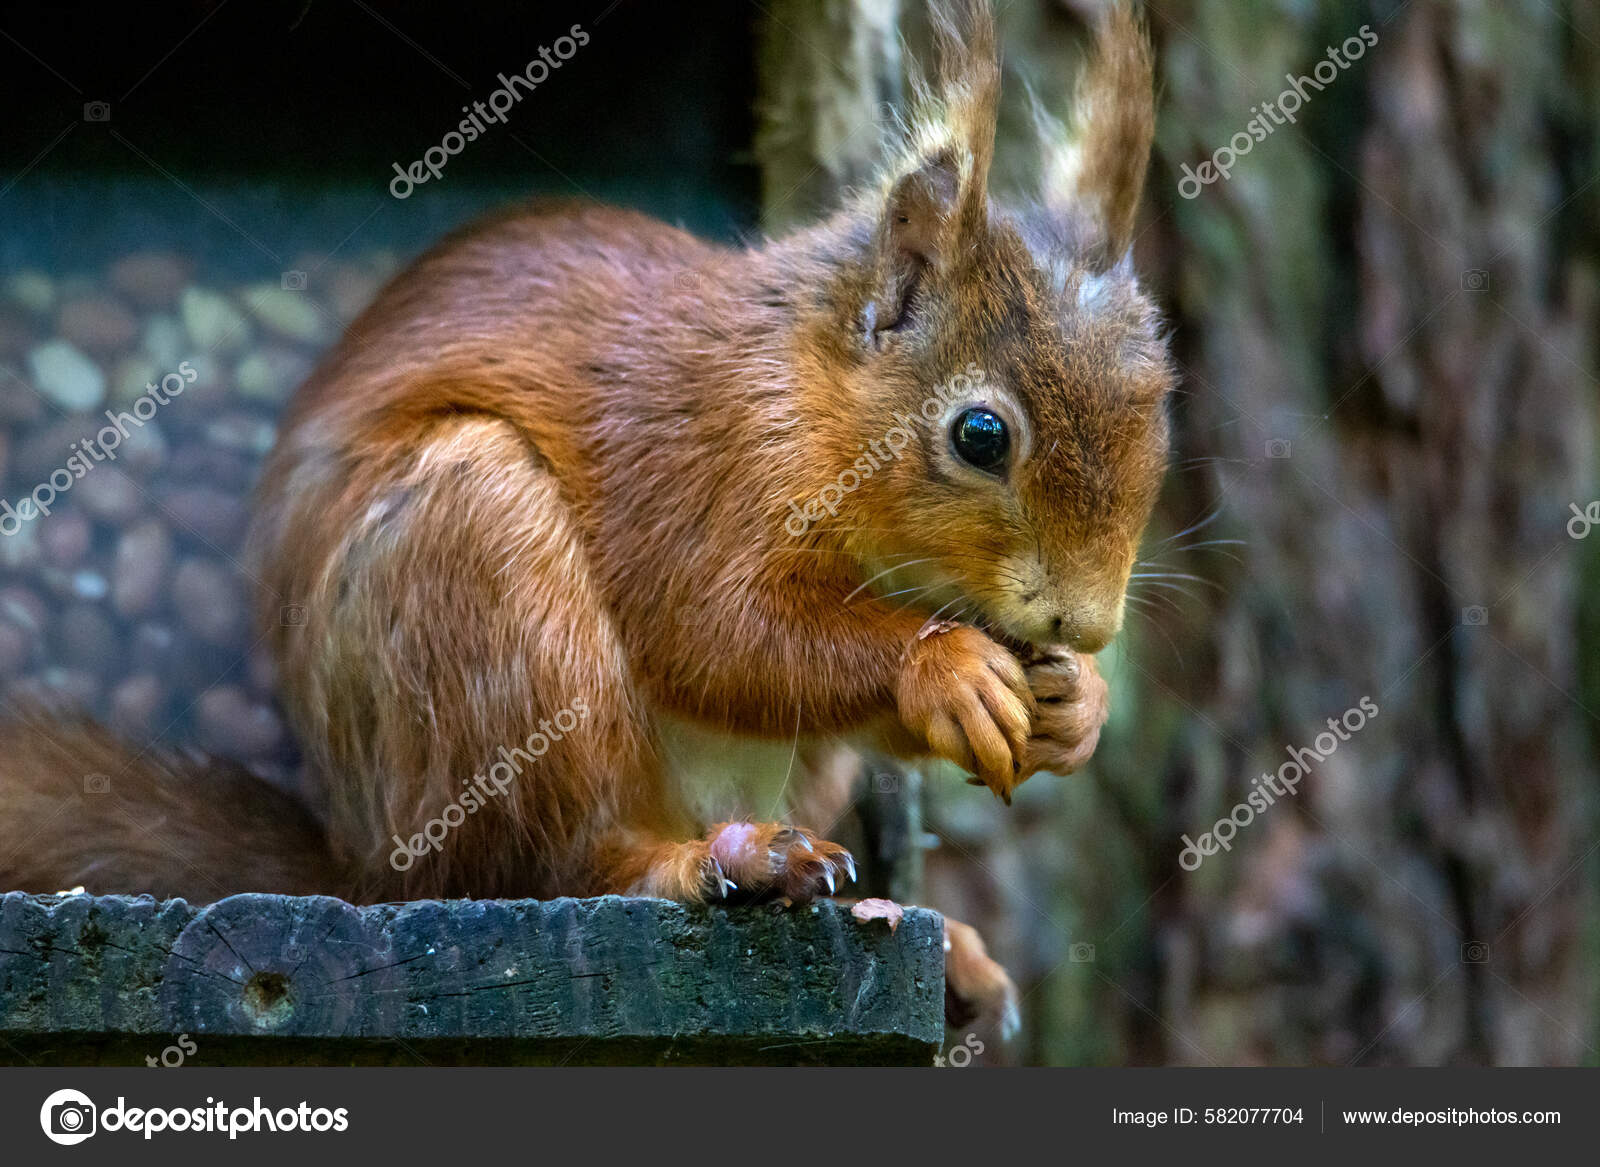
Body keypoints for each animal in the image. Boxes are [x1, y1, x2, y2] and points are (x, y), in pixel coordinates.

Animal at [0, 1, 1168, 1035]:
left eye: (1163, 409)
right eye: (981, 435)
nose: (1085, 623)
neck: (811, 397)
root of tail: (364, 864)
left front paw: (1083, 704)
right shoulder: (690, 460)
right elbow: (713, 634)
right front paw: (944, 665)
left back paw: (945, 943)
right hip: (479, 568)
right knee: (550, 862)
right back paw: (710, 860)